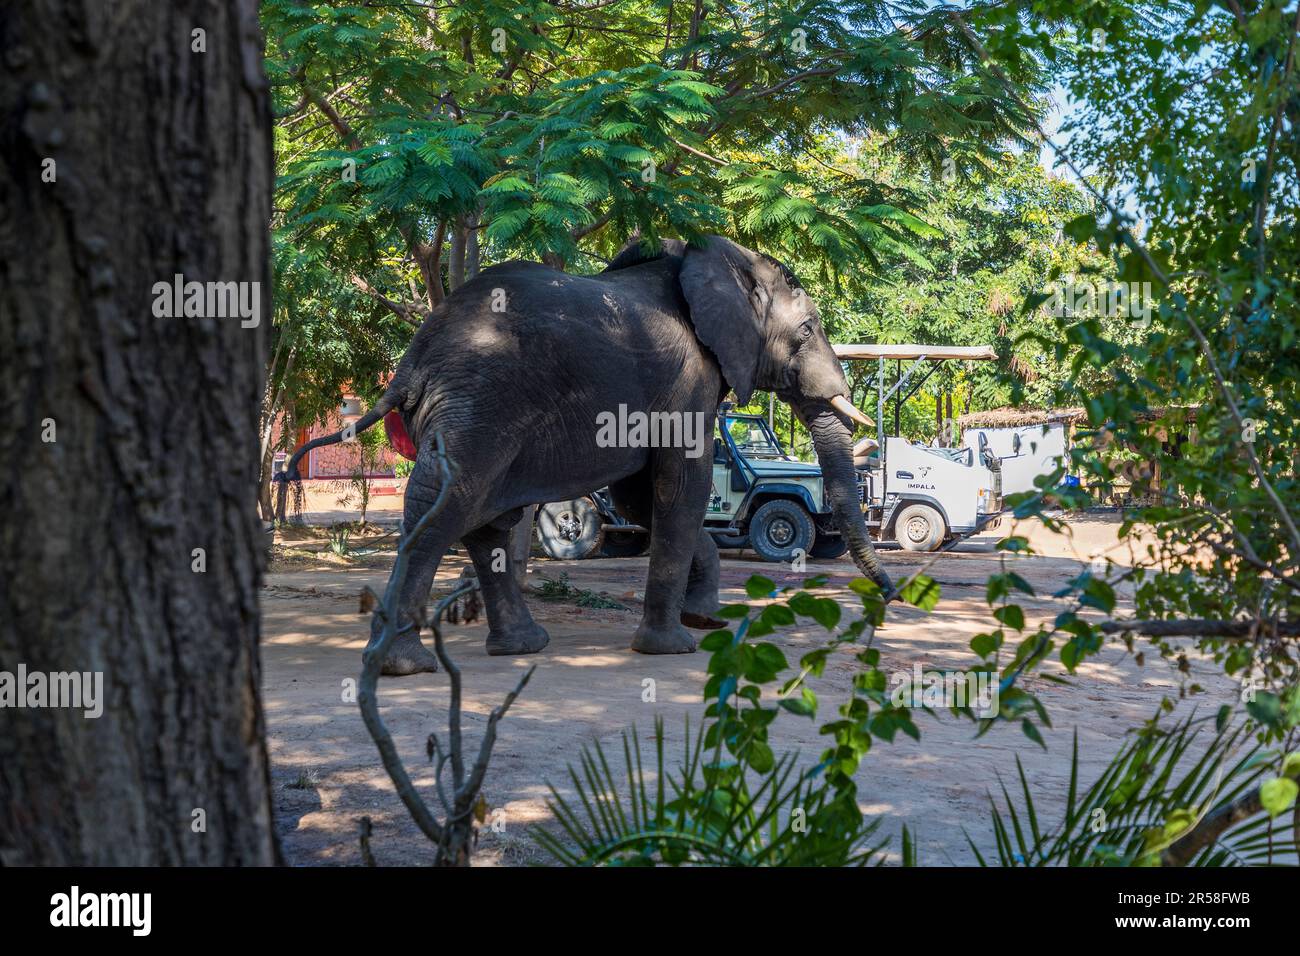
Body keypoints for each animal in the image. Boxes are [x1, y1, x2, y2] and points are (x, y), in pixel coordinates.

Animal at [277, 236, 892, 675]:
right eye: (807, 332)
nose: (888, 598)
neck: (716, 256)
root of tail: (412, 359)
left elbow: (642, 499)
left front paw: (706, 619)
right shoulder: (688, 380)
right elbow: (680, 487)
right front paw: (673, 648)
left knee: (484, 519)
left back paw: (520, 647)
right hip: (480, 407)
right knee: (449, 502)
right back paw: (402, 665)